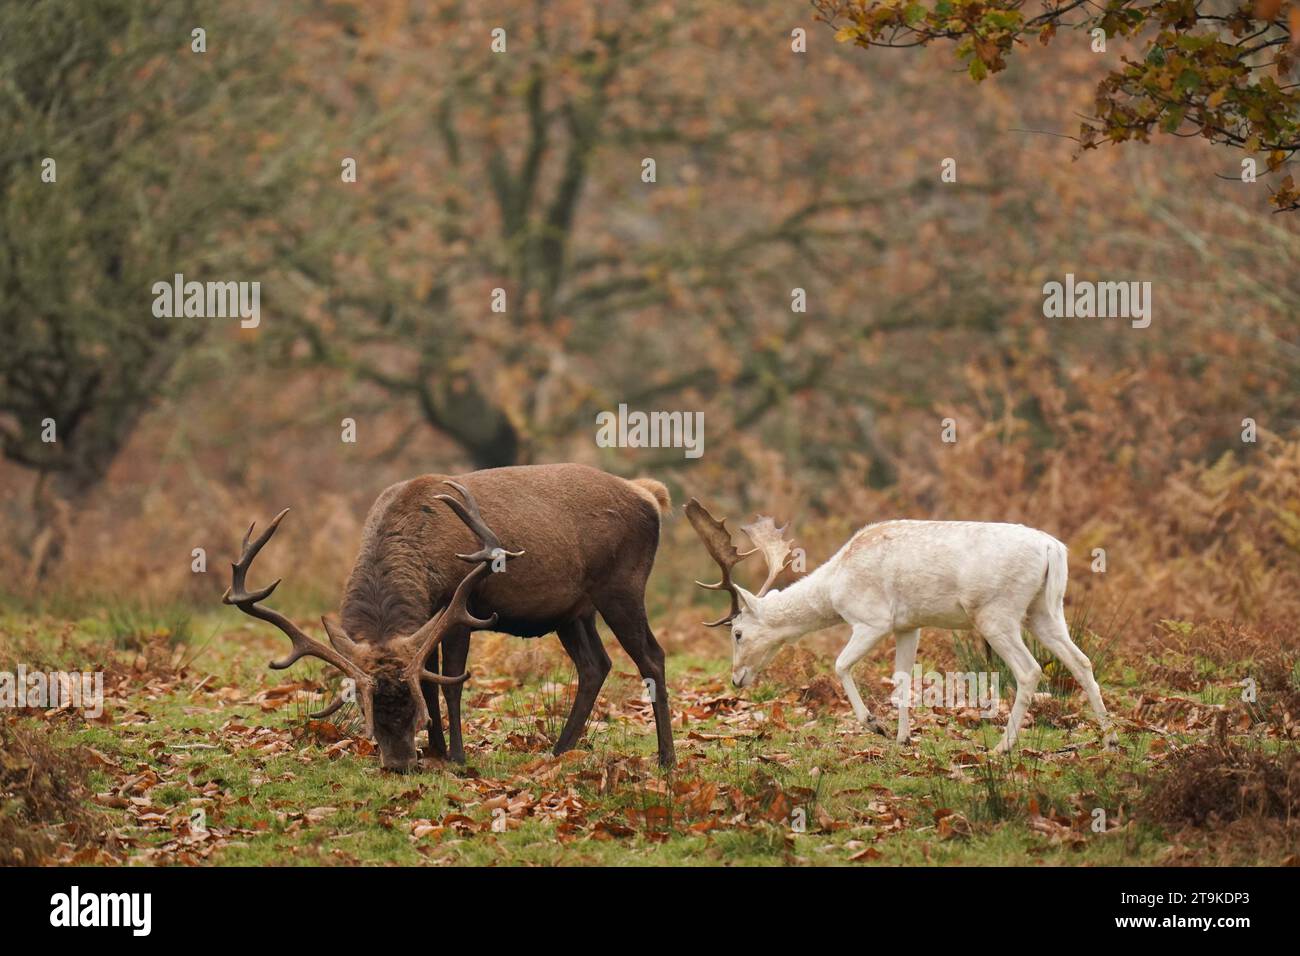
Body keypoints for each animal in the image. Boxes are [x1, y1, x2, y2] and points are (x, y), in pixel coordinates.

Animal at [223, 464, 675, 771]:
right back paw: (560, 748)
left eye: (409, 711)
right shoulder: (425, 625)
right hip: (573, 610)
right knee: (595, 665)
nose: (399, 763)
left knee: (651, 657)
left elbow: (452, 681)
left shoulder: (464, 603)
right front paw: (437, 749)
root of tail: (650, 495)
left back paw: (666, 758)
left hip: (622, 586)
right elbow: (430, 677)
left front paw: (456, 754)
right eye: (370, 712)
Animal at [685, 499, 1116, 753]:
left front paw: (874, 725)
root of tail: (1053, 549)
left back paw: (1003, 747)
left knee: (1029, 670)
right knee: (1082, 661)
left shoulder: (871, 619)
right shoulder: (909, 625)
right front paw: (904, 737)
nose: (736, 678)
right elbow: (902, 679)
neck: (834, 586)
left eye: (737, 633)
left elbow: (841, 664)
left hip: (997, 612)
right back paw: (1110, 738)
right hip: (1045, 610)